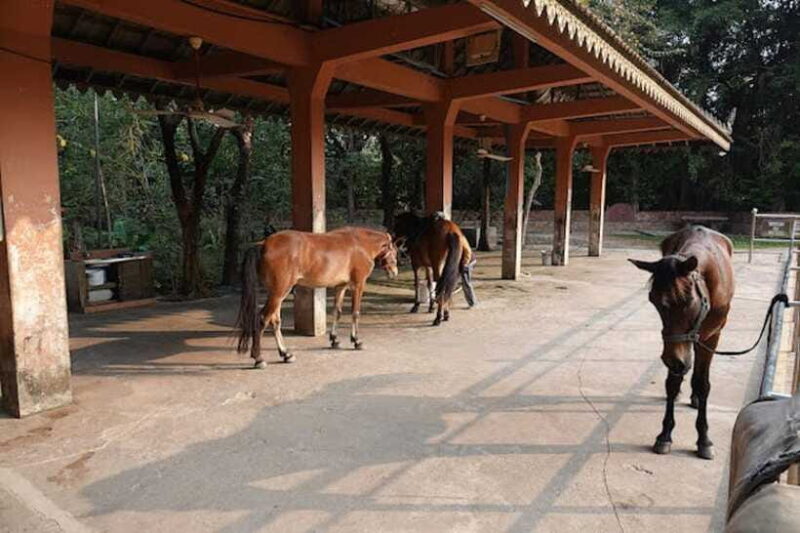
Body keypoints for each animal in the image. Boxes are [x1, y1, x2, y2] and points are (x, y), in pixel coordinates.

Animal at [235, 227, 399, 368]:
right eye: (394, 251)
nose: (394, 272)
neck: (361, 244)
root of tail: (264, 244)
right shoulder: (358, 285)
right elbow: (355, 313)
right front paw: (356, 341)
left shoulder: (341, 287)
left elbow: (337, 312)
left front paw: (334, 339)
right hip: (279, 292)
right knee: (263, 319)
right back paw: (258, 358)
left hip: (277, 294)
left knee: (275, 321)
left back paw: (286, 354)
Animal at [630, 225, 735, 460]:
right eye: (653, 301)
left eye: (687, 300)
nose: (674, 361)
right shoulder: (674, 349)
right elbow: (672, 382)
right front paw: (665, 435)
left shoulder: (712, 337)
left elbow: (703, 384)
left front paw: (704, 440)